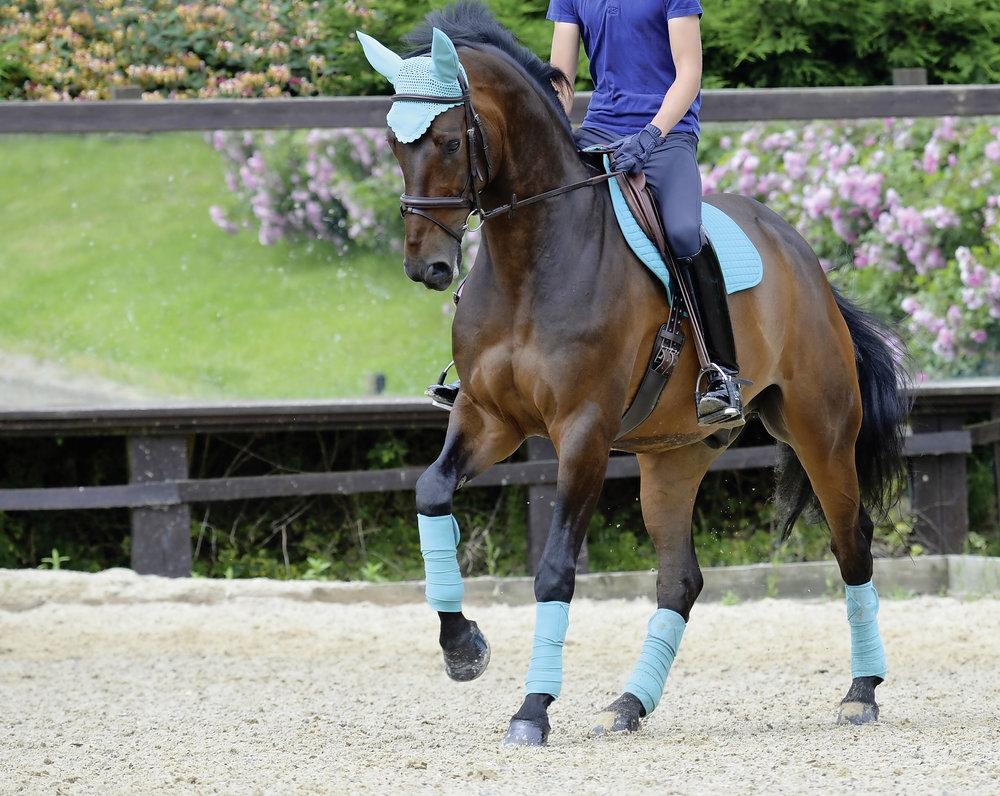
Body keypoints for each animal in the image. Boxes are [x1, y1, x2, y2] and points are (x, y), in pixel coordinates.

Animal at [359, 2, 910, 747]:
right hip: (671, 458)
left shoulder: (583, 432)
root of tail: (800, 253)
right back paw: (629, 704)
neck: (531, 257)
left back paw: (861, 692)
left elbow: (555, 571)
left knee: (852, 542)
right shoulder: (488, 418)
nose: (428, 267)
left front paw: (532, 709)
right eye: (394, 141)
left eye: (447, 141)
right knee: (681, 580)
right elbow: (430, 493)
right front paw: (463, 647)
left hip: (820, 431)